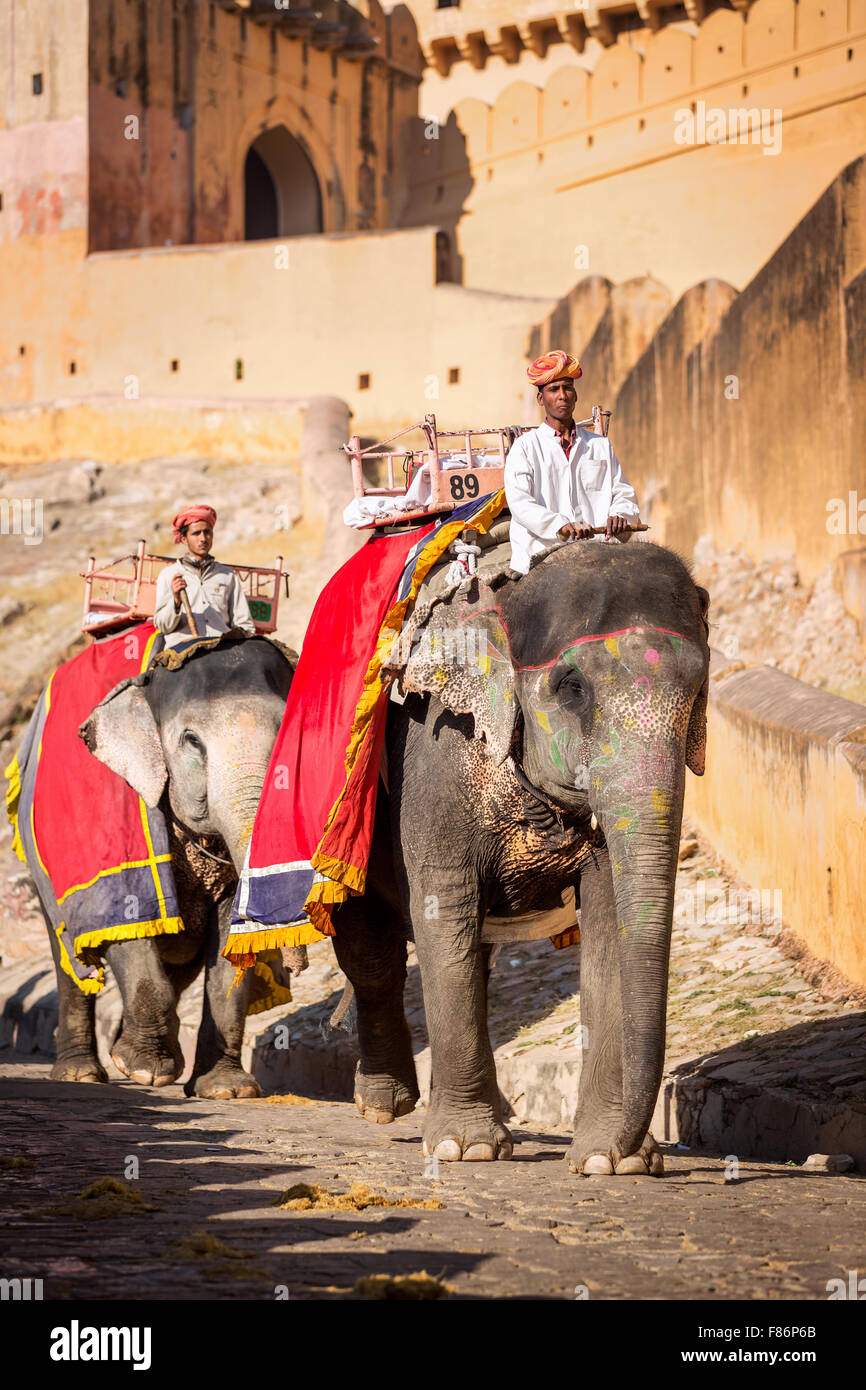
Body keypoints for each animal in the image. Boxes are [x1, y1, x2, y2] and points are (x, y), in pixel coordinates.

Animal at [37, 636, 294, 1098]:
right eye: (192, 741)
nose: (294, 966)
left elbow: (229, 940)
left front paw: (227, 1090)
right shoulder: (122, 817)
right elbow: (128, 919)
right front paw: (144, 1070)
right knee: (69, 956)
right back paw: (82, 1073)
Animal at [330, 536, 710, 1175]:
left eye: (701, 687)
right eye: (572, 688)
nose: (640, 1144)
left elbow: (609, 921)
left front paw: (612, 1162)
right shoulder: (437, 754)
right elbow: (442, 910)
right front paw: (466, 1149)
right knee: (372, 952)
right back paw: (386, 1104)